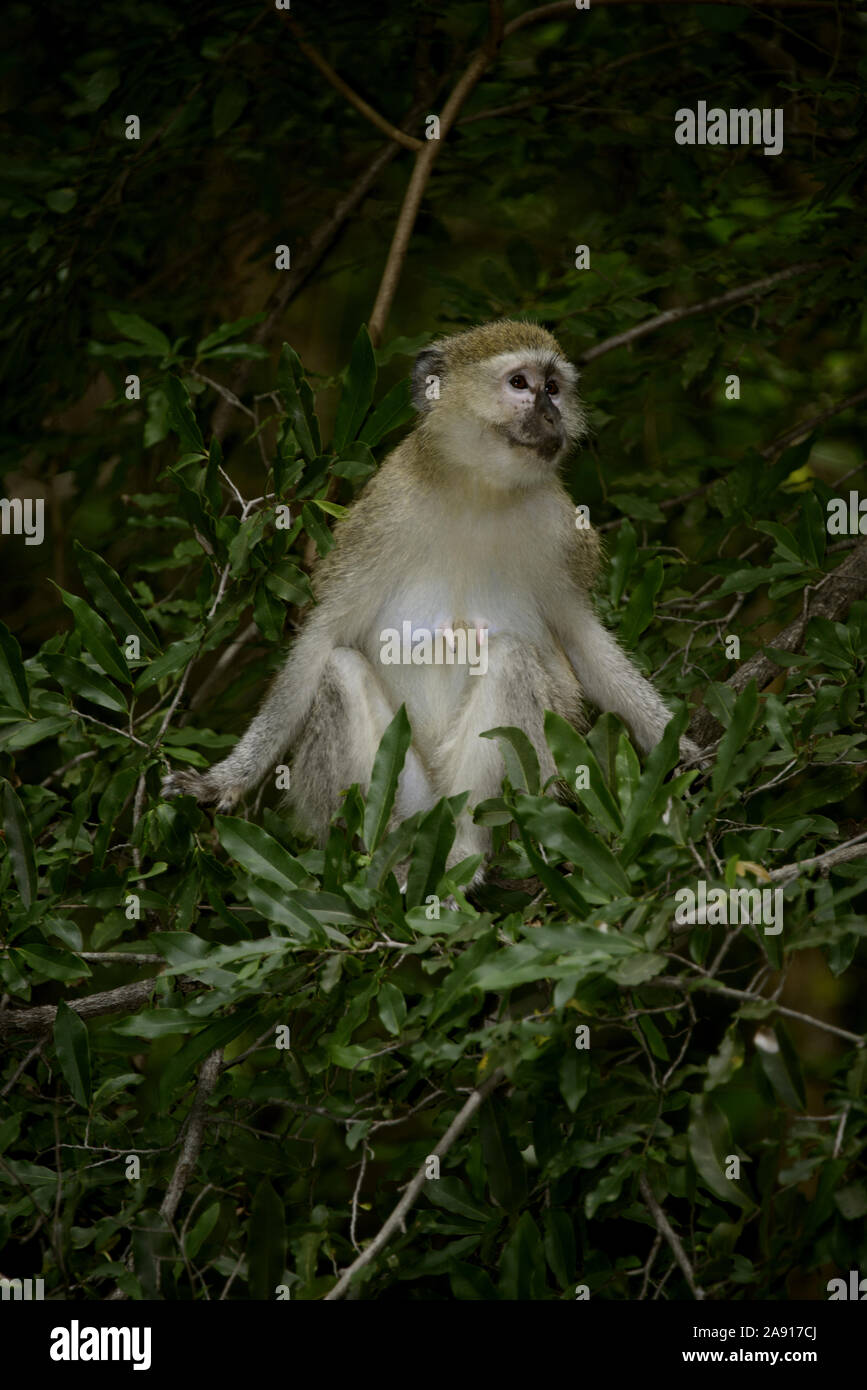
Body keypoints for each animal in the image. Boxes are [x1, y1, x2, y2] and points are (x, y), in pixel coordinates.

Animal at [163, 319, 697, 884]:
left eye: (554, 389)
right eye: (521, 383)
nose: (552, 415)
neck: (478, 490)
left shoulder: (562, 534)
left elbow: (583, 641)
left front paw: (678, 748)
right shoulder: (380, 517)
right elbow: (320, 641)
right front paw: (224, 781)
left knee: (509, 661)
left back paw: (463, 853)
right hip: (410, 796)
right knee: (340, 671)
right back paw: (383, 860)